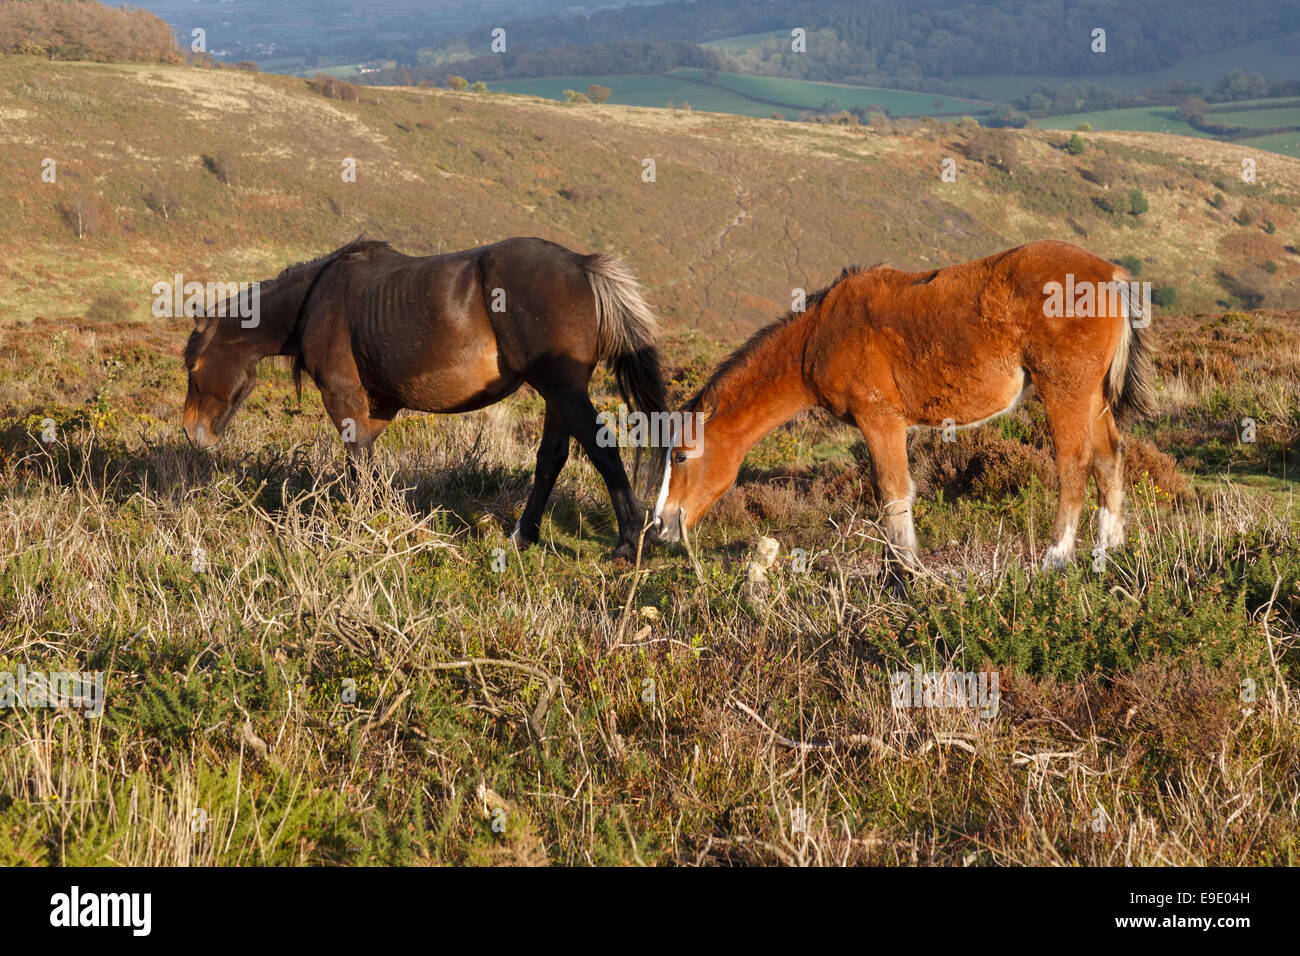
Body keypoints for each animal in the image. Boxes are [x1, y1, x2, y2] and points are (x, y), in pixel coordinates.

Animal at [182, 236, 668, 560]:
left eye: (193, 366)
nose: (191, 432)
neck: (315, 298)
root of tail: (581, 264)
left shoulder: (342, 397)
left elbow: (360, 466)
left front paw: (369, 526)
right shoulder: (376, 405)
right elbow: (364, 465)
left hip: (563, 390)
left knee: (601, 451)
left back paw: (628, 544)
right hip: (555, 397)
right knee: (552, 459)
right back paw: (522, 536)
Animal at [649, 239, 1156, 584]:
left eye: (680, 456)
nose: (661, 526)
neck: (820, 333)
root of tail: (1111, 274)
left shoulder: (880, 420)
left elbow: (892, 492)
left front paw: (904, 575)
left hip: (1063, 389)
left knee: (1073, 464)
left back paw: (1055, 561)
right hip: (1091, 397)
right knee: (1109, 457)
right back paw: (1108, 556)